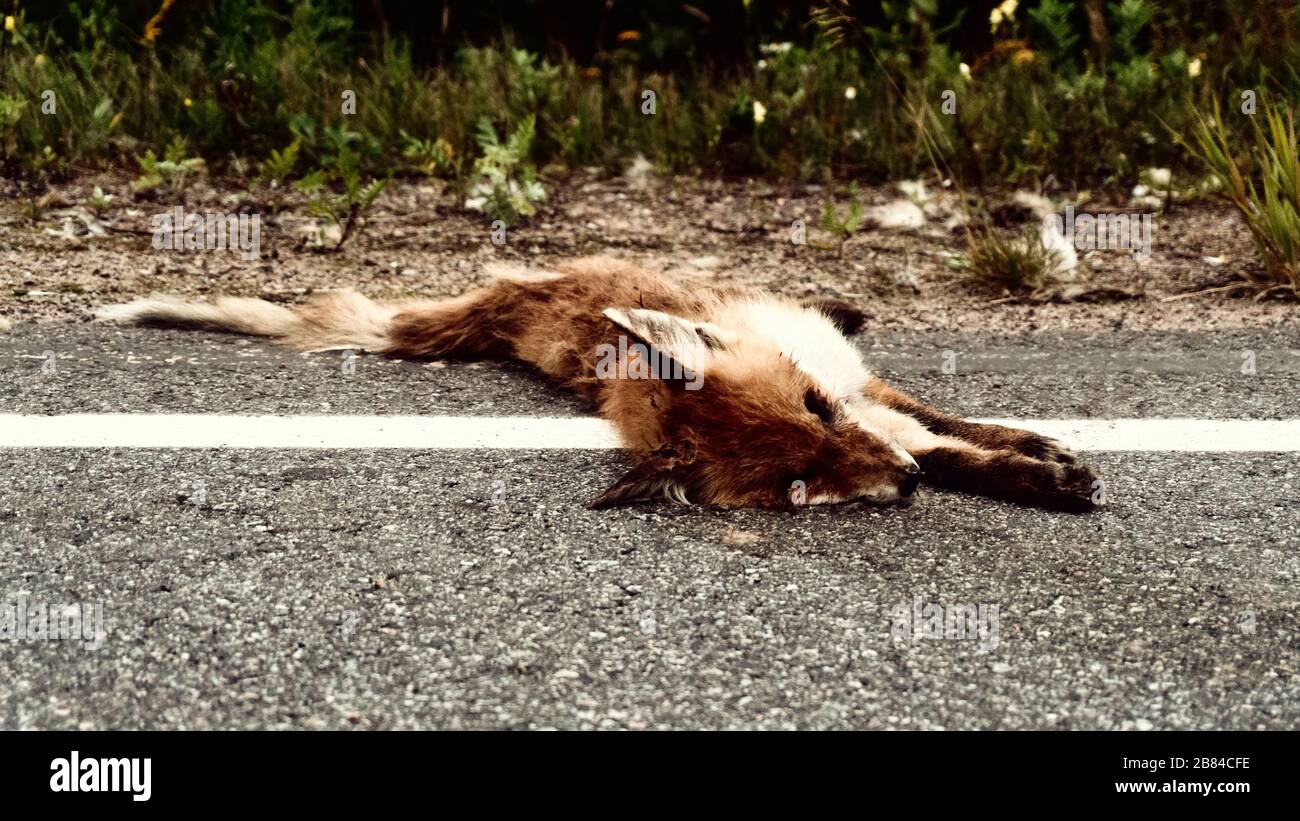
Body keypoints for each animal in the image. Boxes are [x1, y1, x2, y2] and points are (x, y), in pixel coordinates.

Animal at [97, 256, 1100, 511]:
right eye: (798, 486)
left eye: (813, 408)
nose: (908, 487)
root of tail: (510, 300)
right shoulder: (872, 416)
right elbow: (956, 450)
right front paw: (1038, 477)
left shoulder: (857, 391)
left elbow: (956, 425)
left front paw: (1038, 455)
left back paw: (842, 301)